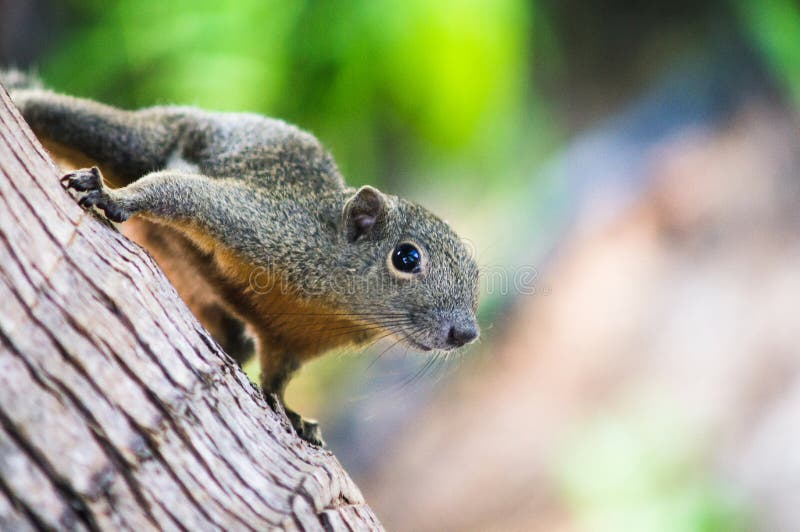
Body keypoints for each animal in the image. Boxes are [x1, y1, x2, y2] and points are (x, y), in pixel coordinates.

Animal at [1, 70, 480, 445]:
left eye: (476, 276)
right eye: (406, 258)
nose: (467, 333)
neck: (333, 306)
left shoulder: (291, 342)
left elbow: (278, 377)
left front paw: (292, 414)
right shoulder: (263, 223)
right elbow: (180, 191)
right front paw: (115, 197)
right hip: (141, 139)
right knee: (68, 116)